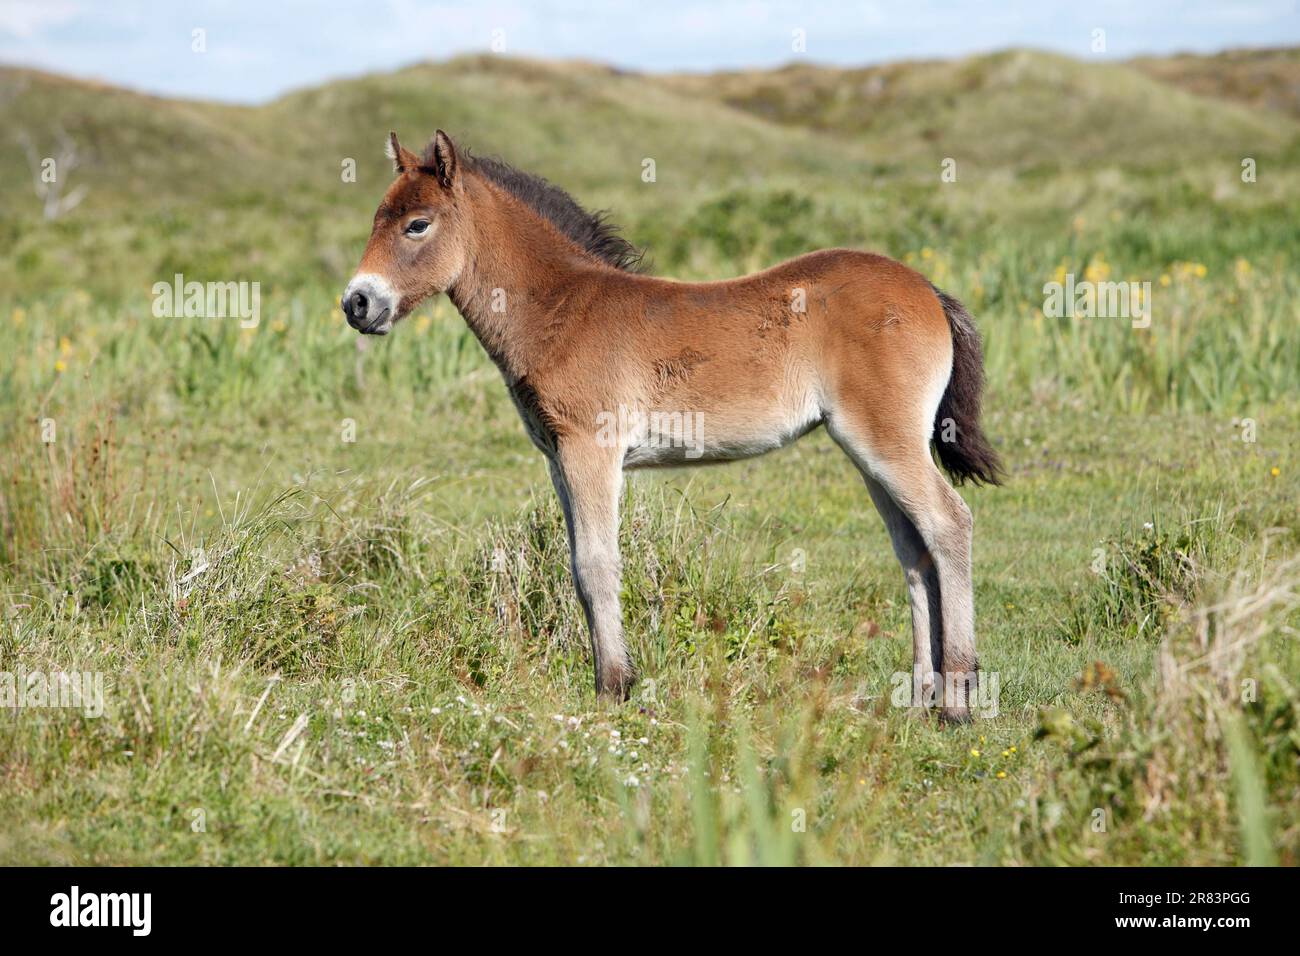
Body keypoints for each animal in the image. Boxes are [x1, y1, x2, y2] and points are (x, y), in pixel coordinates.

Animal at [342, 130, 1003, 721]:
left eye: (417, 225)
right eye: (376, 218)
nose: (357, 304)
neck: (561, 309)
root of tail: (927, 289)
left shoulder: (591, 451)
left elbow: (597, 566)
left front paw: (614, 688)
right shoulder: (558, 458)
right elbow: (578, 565)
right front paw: (610, 680)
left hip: (884, 440)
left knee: (949, 524)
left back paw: (957, 702)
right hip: (870, 450)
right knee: (914, 549)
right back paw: (920, 699)